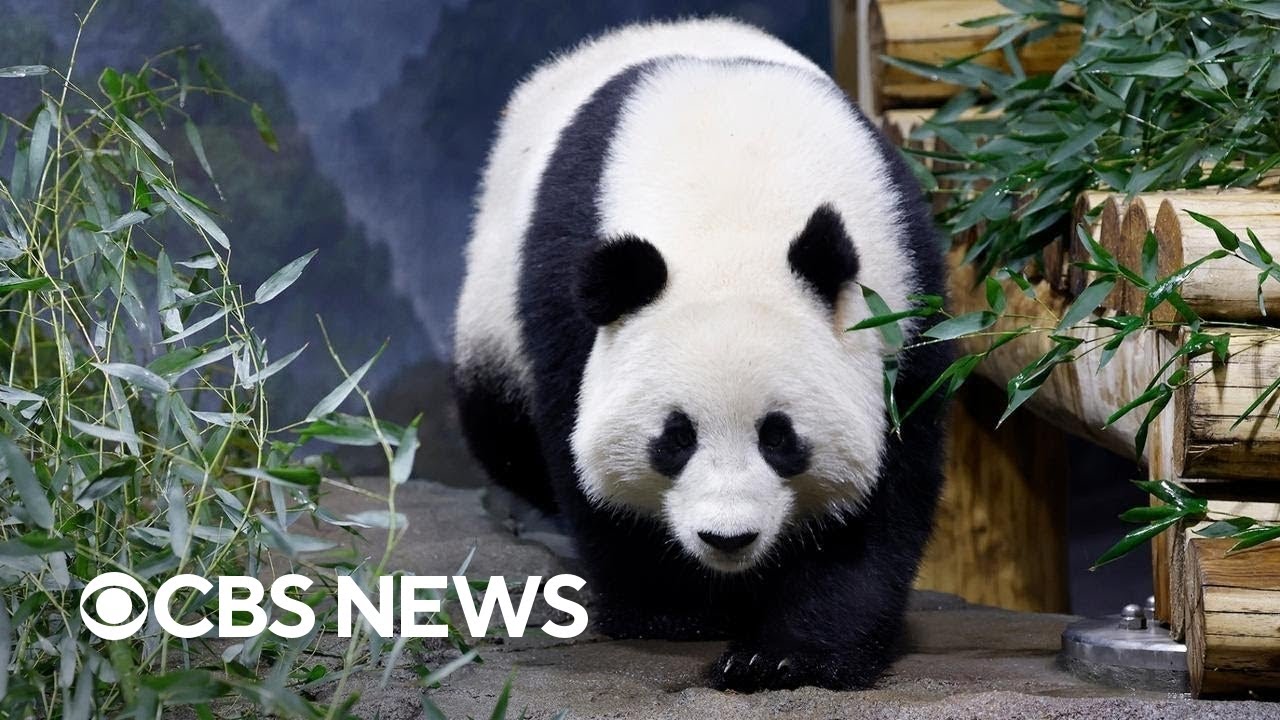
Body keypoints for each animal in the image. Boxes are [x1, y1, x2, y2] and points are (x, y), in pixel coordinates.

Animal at [452, 18, 949, 691]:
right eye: (675, 438)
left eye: (780, 438)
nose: (728, 538)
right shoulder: (564, 287)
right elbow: (581, 451)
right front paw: (671, 609)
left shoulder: (903, 287)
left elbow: (884, 491)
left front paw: (789, 655)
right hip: (490, 301)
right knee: (499, 426)